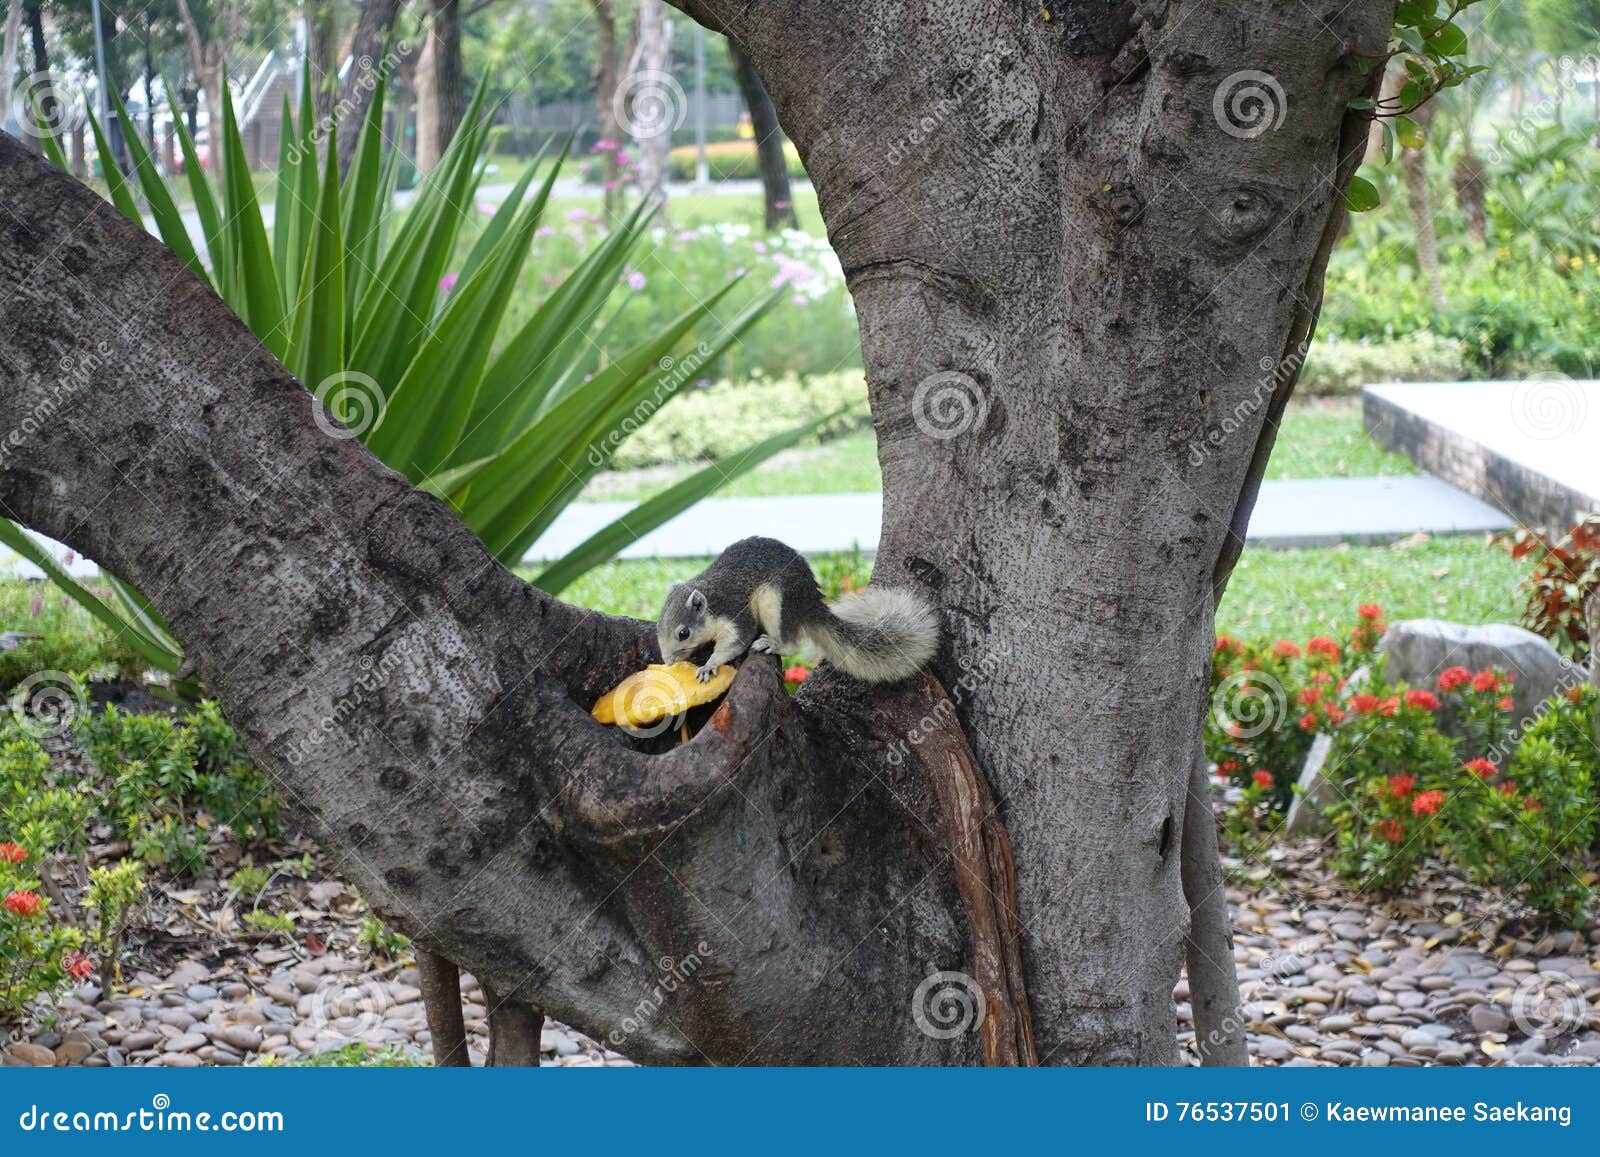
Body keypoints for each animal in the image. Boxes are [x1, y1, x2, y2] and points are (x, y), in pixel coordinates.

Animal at [656, 536, 940, 685]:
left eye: (683, 633)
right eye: (658, 628)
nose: (668, 662)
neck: (712, 599)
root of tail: (810, 604)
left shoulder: (735, 614)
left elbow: (734, 643)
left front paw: (709, 664)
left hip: (777, 603)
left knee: (791, 644)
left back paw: (773, 644)